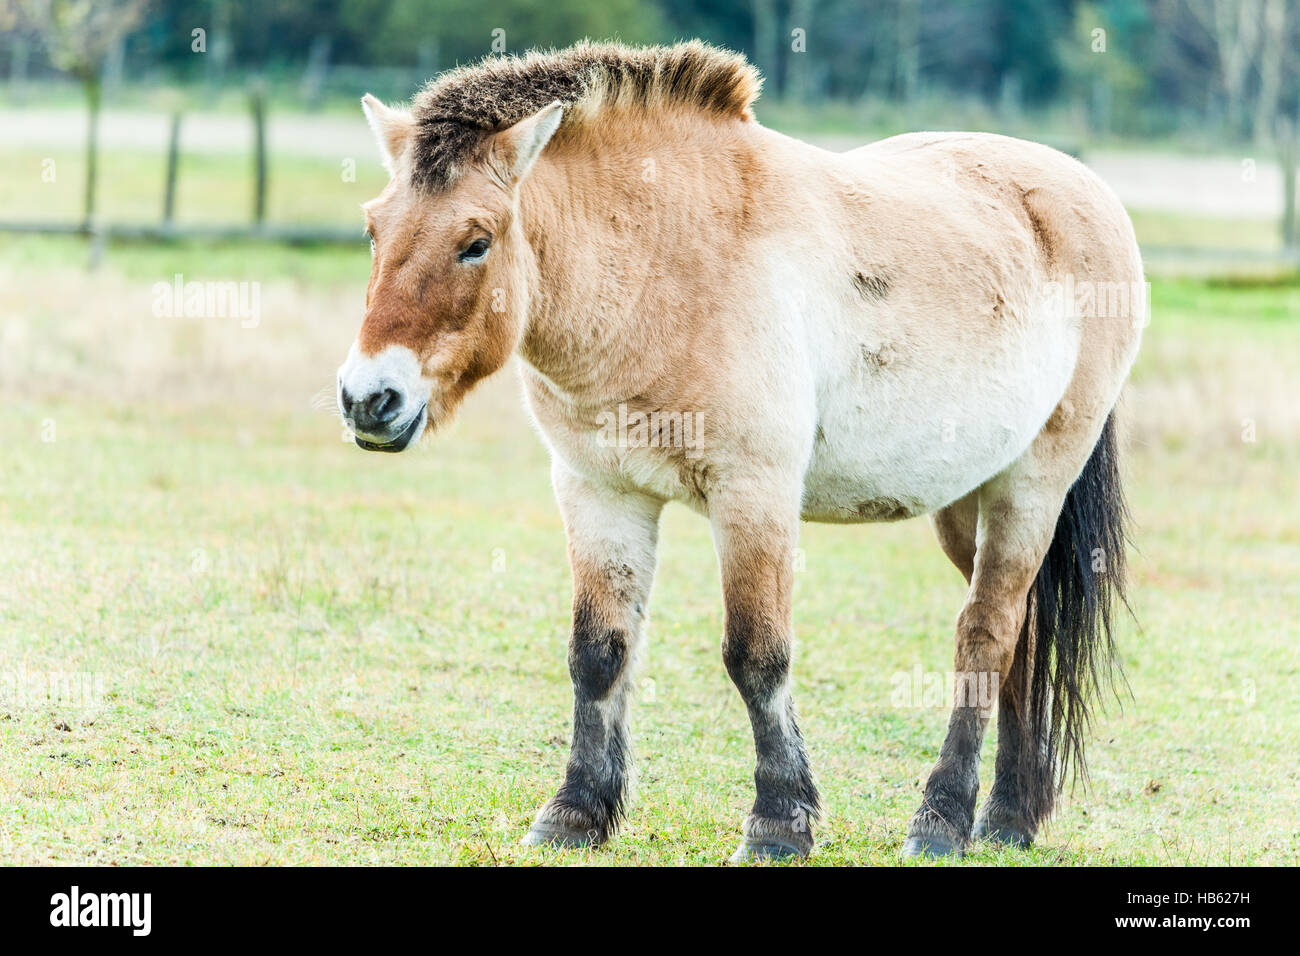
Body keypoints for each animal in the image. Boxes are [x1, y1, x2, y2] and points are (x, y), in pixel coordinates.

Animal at [336, 41, 1144, 861]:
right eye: (373, 230)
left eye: (476, 242)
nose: (369, 400)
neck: (666, 264)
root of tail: (1088, 193)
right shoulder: (598, 490)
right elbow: (598, 652)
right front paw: (574, 815)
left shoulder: (753, 494)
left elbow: (756, 656)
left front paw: (779, 823)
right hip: (961, 505)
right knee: (1024, 637)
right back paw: (1009, 817)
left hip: (1030, 488)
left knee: (986, 634)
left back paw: (942, 820)